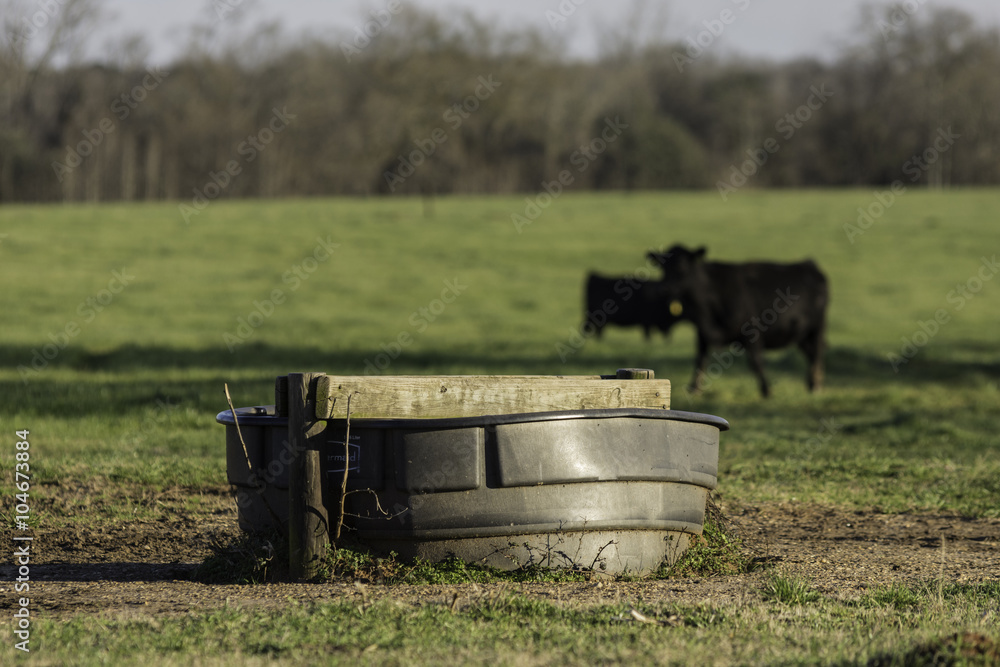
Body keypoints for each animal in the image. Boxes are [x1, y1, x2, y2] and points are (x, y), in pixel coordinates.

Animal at [647, 245, 828, 398]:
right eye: (662, 267)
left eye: (682, 267)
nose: (663, 289)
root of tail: (809, 264)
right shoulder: (702, 333)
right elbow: (700, 360)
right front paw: (694, 389)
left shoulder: (753, 332)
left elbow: (756, 362)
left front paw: (766, 390)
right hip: (801, 334)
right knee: (810, 353)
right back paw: (812, 382)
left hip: (817, 327)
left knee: (817, 353)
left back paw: (815, 385)